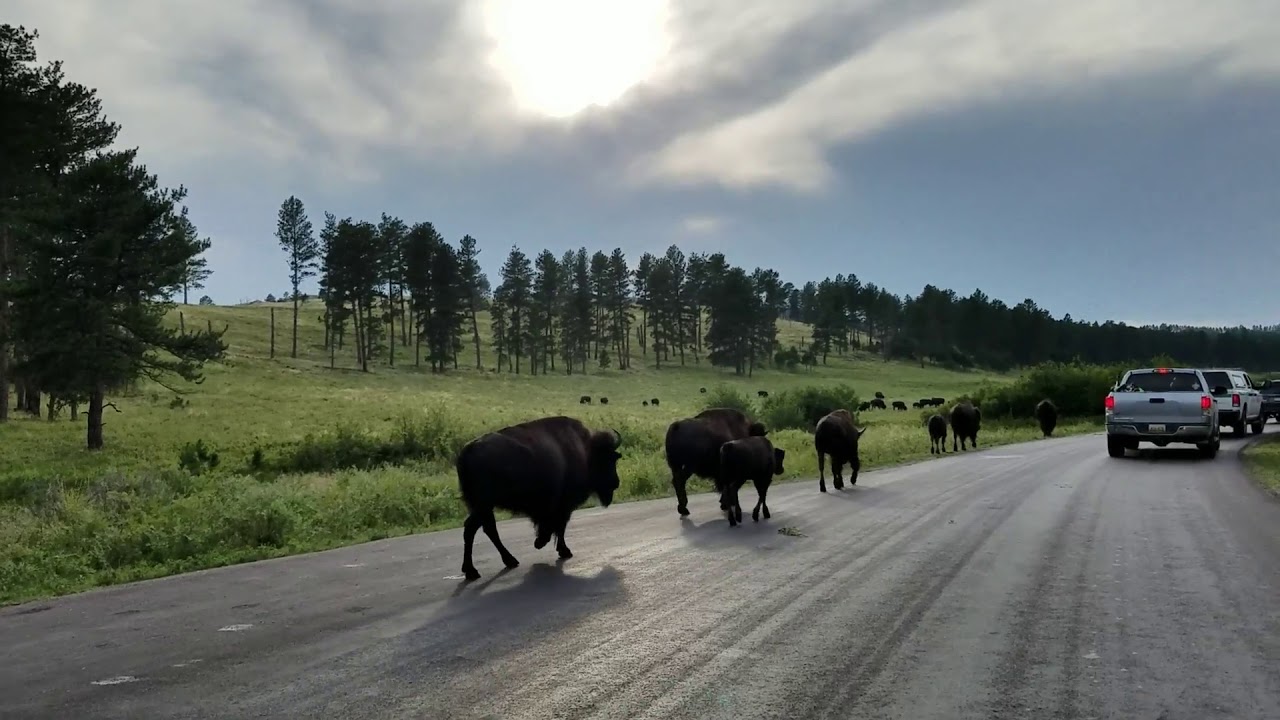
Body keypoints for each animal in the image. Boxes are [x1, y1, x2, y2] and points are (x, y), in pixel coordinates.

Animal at [456, 416, 623, 581]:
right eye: (609, 459)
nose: (616, 483)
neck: (585, 451)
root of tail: (466, 453)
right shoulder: (563, 505)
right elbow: (559, 527)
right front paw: (556, 548)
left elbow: (556, 526)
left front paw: (544, 543)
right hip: (483, 505)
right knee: (478, 529)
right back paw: (479, 569)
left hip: (482, 507)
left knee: (480, 529)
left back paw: (500, 563)